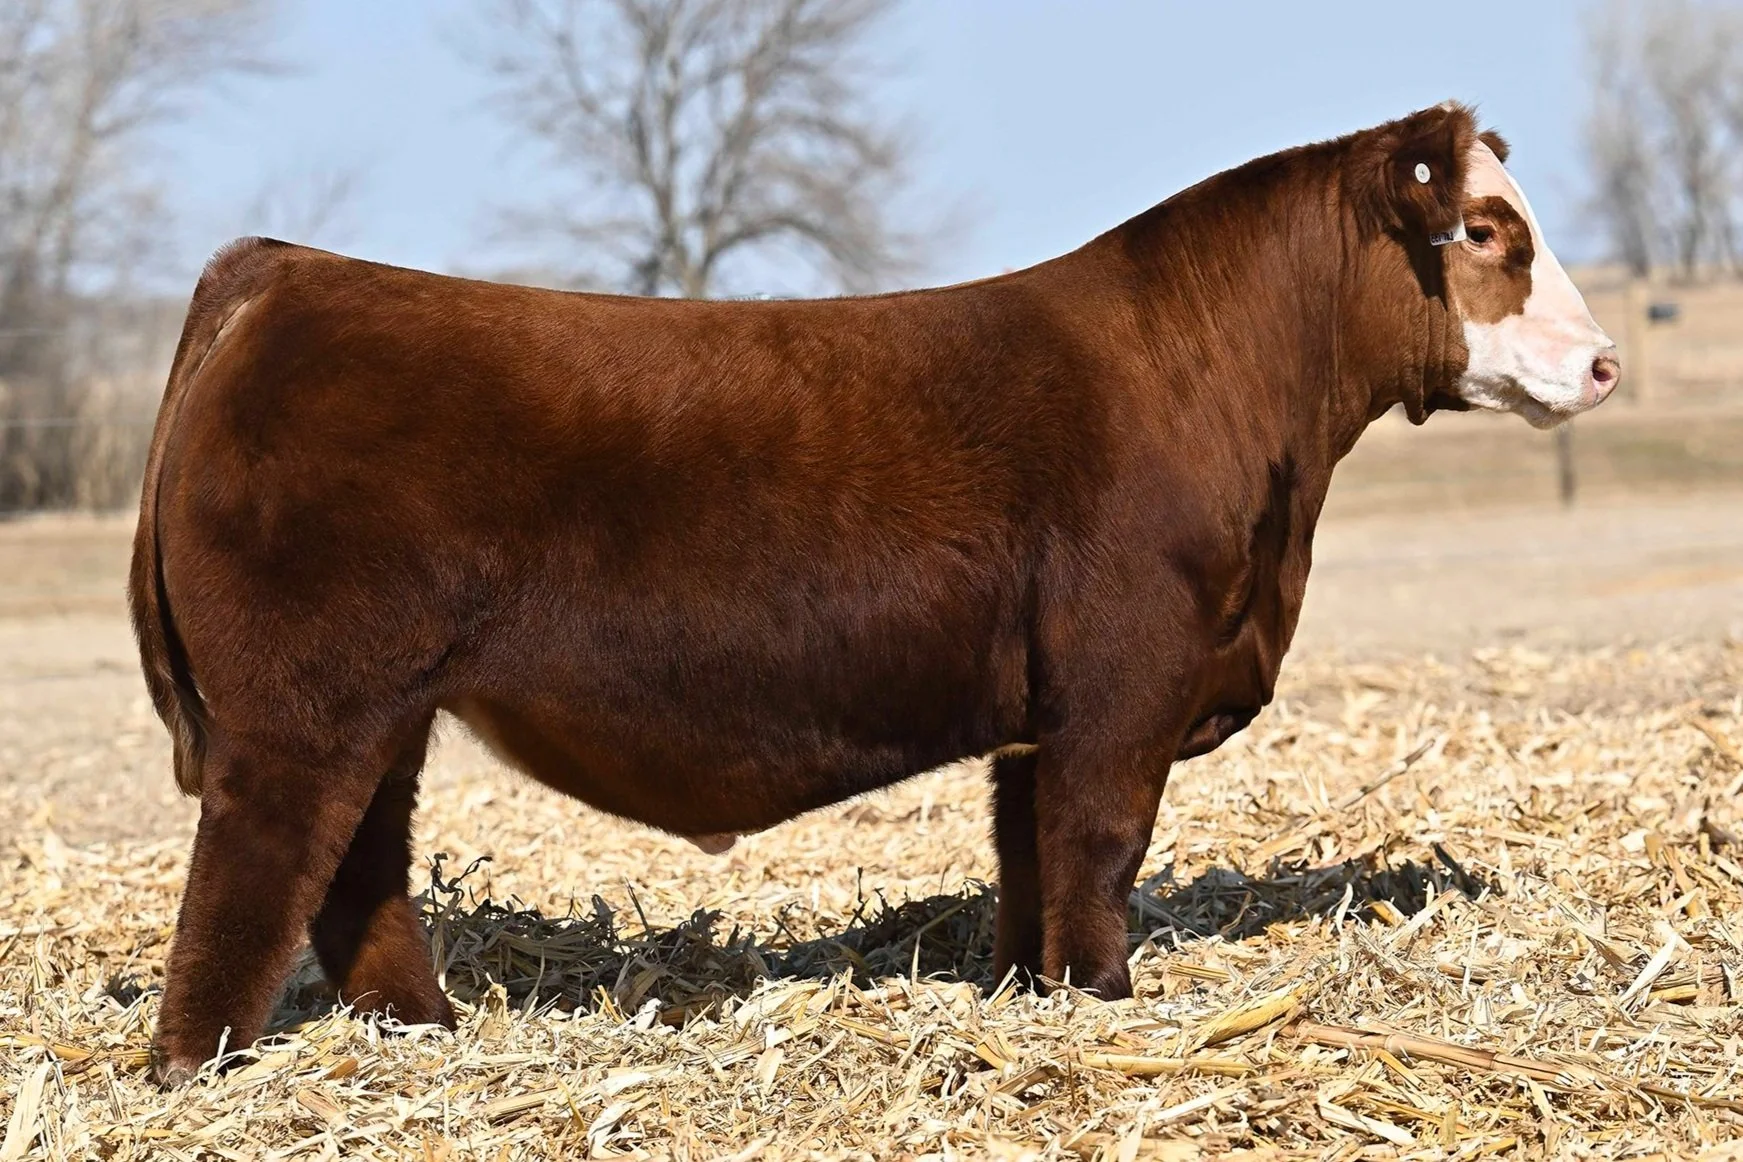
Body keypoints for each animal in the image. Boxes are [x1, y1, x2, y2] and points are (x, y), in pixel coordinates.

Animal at [131, 103, 1617, 1085]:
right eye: (1486, 228)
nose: (1605, 361)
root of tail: (286, 272)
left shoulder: (1043, 714)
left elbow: (1028, 857)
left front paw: (1033, 991)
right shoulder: (1120, 690)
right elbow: (1097, 848)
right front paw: (1103, 997)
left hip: (381, 710)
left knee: (357, 870)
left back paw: (421, 1032)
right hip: (302, 710)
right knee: (251, 879)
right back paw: (196, 1067)